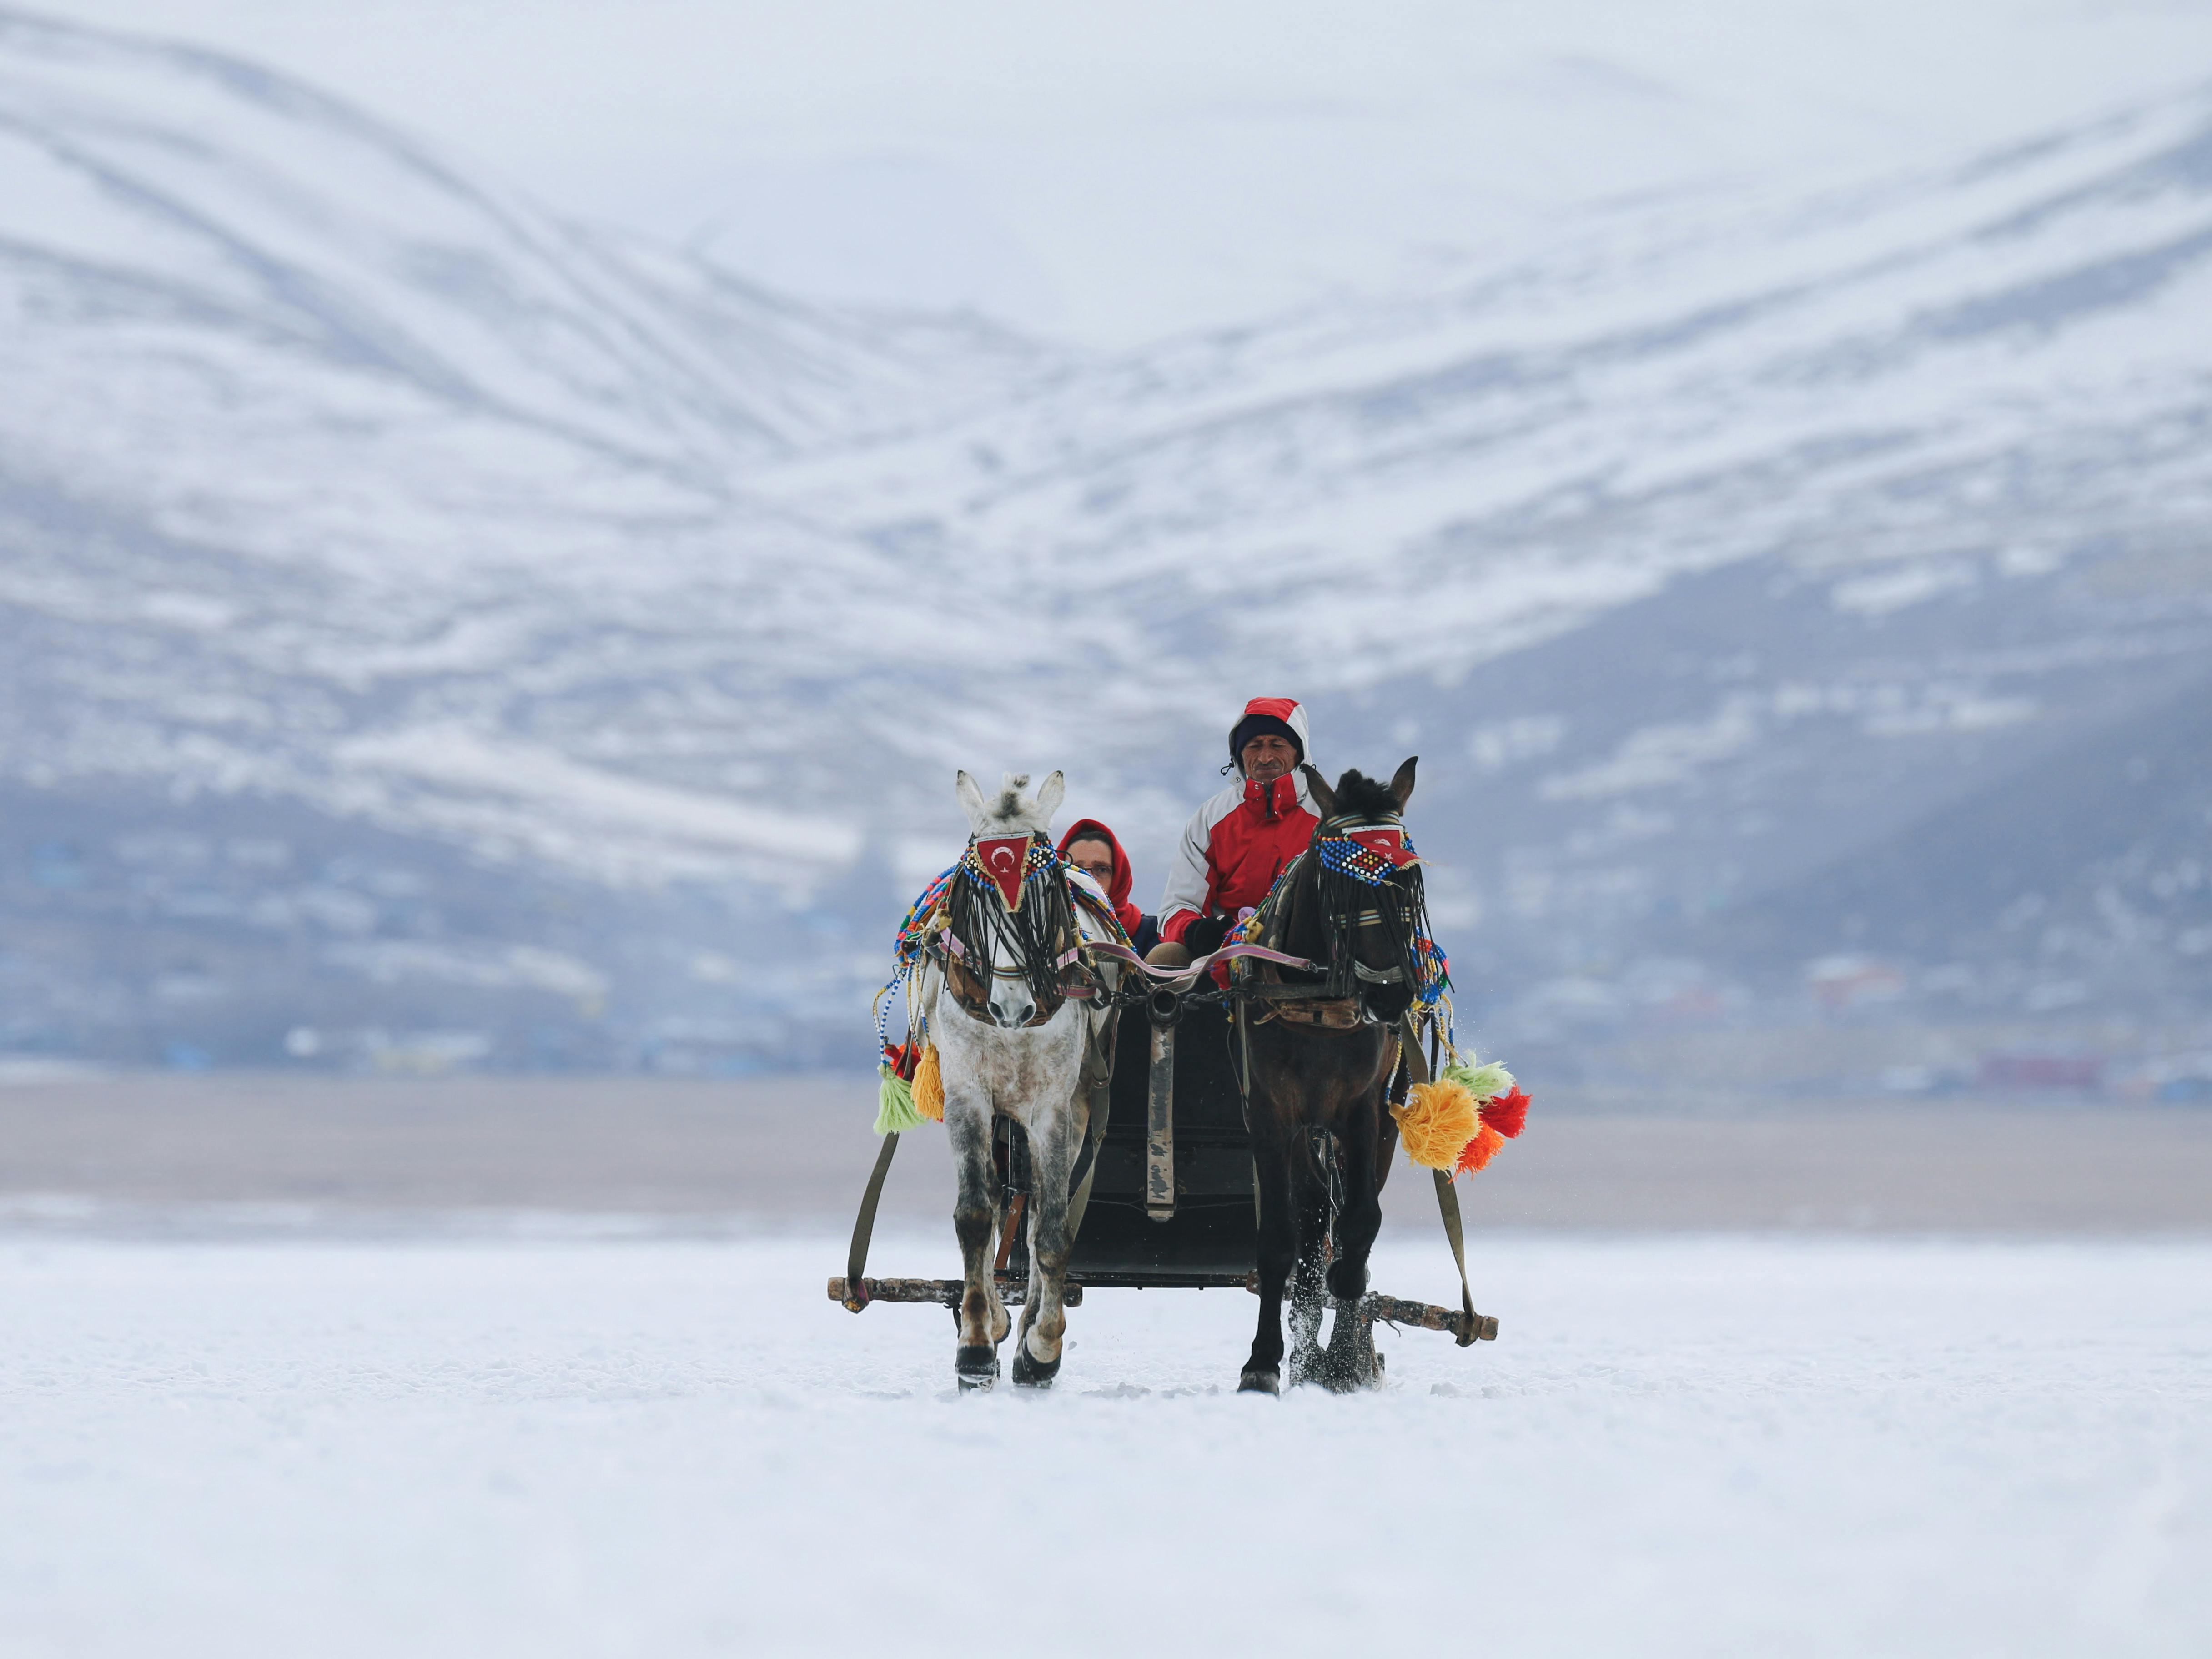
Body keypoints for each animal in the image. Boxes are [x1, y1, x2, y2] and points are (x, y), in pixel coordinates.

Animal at [911, 769, 1123, 1390]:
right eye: (978, 890)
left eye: (1042, 890)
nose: (1012, 1008)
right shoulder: (967, 1096)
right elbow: (976, 1216)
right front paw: (977, 1346)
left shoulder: (1052, 1108)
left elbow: (1050, 1228)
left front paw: (1042, 1347)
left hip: (1076, 1110)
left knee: (1036, 1218)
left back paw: (1031, 1331)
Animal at [1233, 757, 1427, 1394]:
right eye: (1338, 880)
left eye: (1409, 881)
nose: (1390, 996)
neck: (1316, 1006)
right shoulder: (1271, 1117)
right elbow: (1279, 1242)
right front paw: (1263, 1361)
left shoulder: (1363, 1111)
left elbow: (1360, 1226)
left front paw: (1345, 1354)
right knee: (1310, 1226)